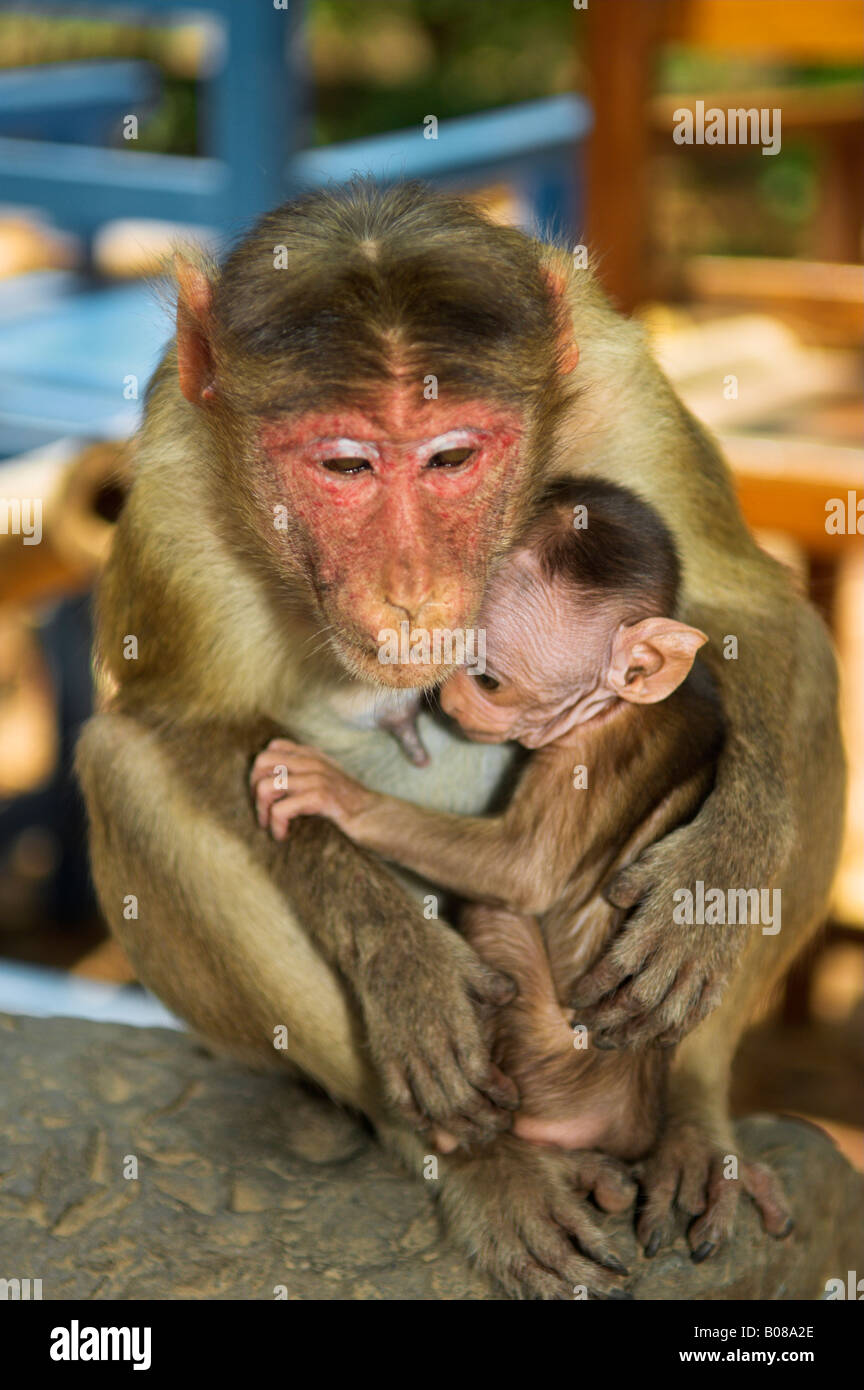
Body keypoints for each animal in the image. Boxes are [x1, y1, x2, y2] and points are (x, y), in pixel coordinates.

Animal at [75, 181, 845, 1300]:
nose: (409, 590)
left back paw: (694, 1114)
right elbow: (177, 724)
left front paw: (720, 872)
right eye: (345, 464)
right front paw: (399, 959)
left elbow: (756, 616)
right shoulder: (177, 493)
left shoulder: (622, 389)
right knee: (122, 768)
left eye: (451, 457)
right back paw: (485, 1163)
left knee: (811, 682)